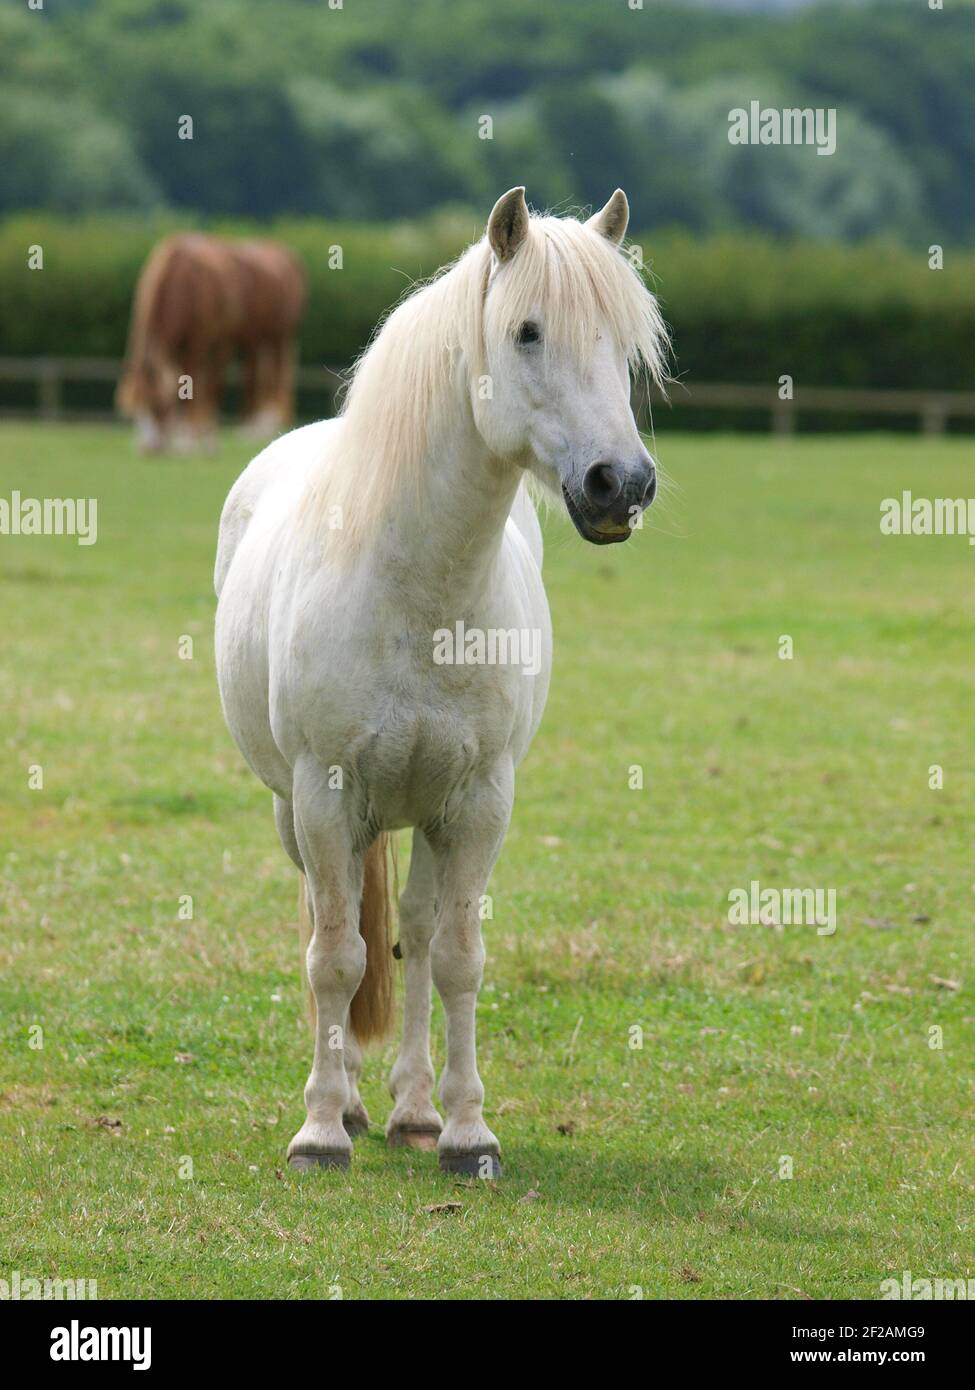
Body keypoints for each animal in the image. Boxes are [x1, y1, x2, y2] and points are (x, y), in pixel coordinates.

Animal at [116, 234, 305, 453]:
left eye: (160, 406)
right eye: (137, 408)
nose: (148, 449)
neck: (182, 278)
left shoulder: (197, 342)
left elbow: (191, 382)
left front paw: (187, 440)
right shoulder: (182, 347)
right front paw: (186, 435)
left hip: (275, 336)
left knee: (263, 375)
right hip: (252, 339)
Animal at [213, 187, 668, 1176]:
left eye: (624, 343)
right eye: (527, 331)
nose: (620, 484)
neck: (420, 595)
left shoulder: (479, 801)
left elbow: (456, 955)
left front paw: (465, 1131)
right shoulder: (325, 793)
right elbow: (334, 959)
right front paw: (318, 1132)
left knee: (414, 936)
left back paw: (411, 1110)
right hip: (298, 813)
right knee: (328, 927)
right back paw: (347, 1106)